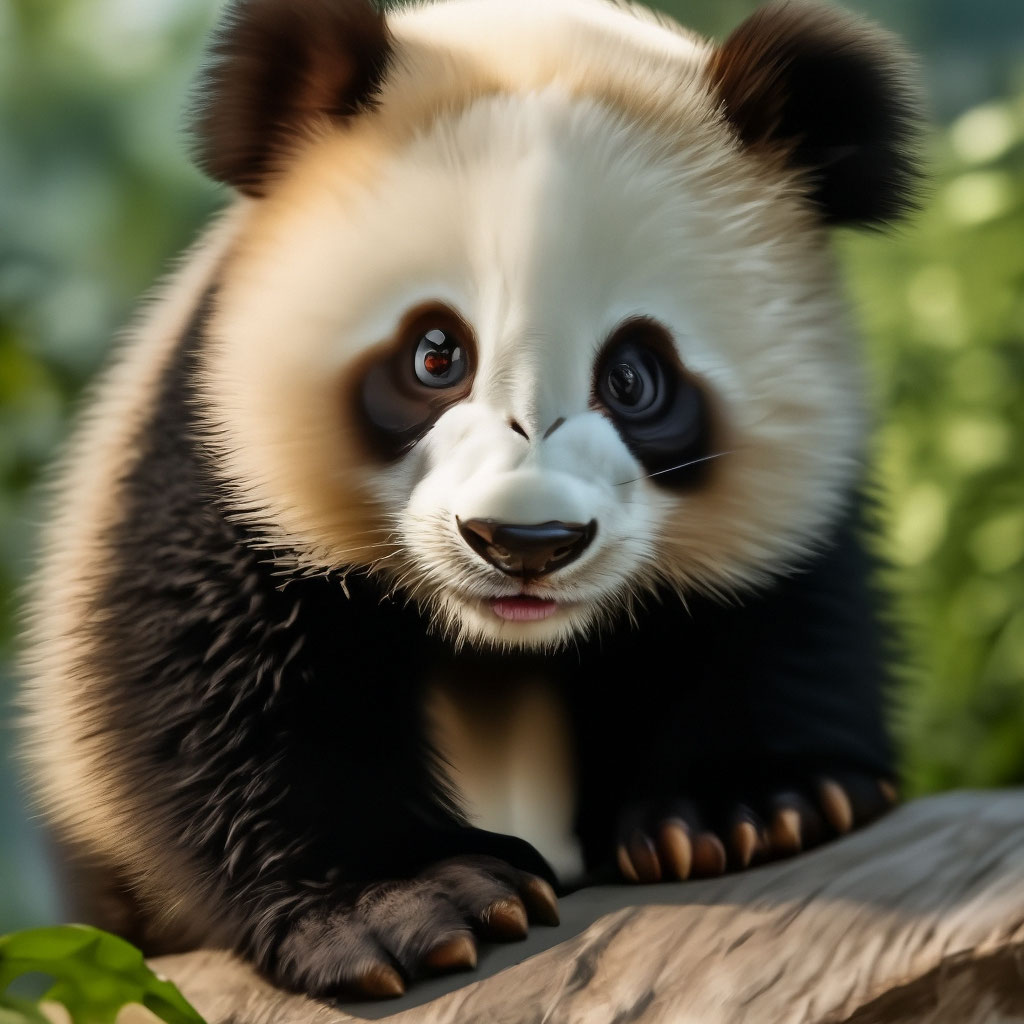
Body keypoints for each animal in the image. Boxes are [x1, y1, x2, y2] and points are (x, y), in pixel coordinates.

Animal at [20, 0, 921, 1001]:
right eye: (435, 354)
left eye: (635, 376)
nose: (525, 541)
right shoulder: (213, 447)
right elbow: (222, 675)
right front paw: (408, 904)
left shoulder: (794, 506)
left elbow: (780, 615)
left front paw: (749, 807)